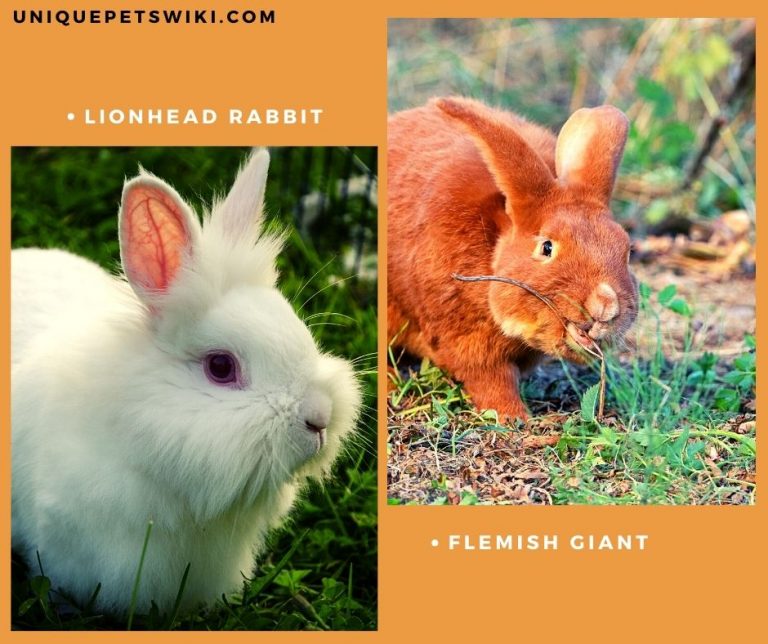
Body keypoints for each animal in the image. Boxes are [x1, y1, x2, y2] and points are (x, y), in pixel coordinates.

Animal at [387, 97, 637, 420]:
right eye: (547, 247)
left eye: (627, 251)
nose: (606, 306)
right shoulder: (468, 343)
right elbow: (494, 381)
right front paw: (513, 417)